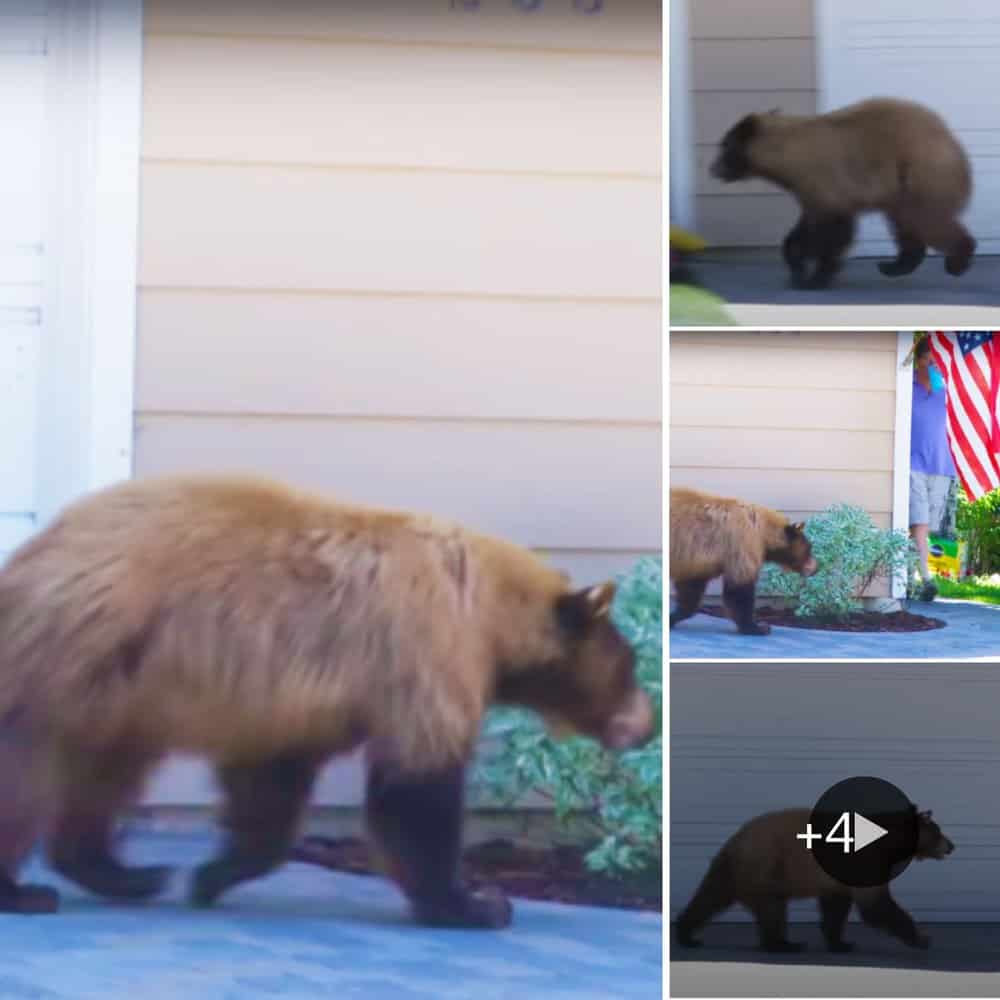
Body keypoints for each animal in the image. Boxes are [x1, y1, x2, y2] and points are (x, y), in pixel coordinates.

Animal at [0, 474, 654, 927]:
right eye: (630, 666)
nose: (647, 726)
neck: (485, 608)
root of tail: (28, 558)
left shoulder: (286, 705)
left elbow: (271, 785)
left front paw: (213, 875)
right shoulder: (423, 655)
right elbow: (416, 789)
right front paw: (473, 903)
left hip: (119, 697)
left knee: (103, 777)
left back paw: (124, 873)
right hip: (70, 661)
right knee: (28, 779)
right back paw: (26, 891)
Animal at [669, 487, 817, 636]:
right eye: (809, 548)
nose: (816, 568)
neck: (762, 530)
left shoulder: (695, 561)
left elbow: (691, 588)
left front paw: (673, 616)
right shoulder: (742, 544)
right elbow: (739, 589)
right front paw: (757, 627)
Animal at [674, 806, 954, 953]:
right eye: (938, 831)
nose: (951, 846)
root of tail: (734, 842)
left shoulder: (837, 878)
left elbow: (836, 906)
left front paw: (840, 942)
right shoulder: (864, 861)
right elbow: (877, 905)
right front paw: (922, 938)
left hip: (736, 869)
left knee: (711, 896)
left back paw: (686, 934)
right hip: (767, 866)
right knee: (771, 909)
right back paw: (783, 944)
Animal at [709, 97, 975, 289]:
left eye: (724, 145)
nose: (713, 169)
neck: (788, 155)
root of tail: (954, 144)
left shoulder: (825, 181)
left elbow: (831, 231)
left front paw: (815, 277)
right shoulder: (810, 191)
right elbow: (804, 229)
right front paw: (797, 266)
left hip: (920, 174)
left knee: (928, 219)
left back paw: (957, 261)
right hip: (902, 188)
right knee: (906, 222)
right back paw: (893, 265)